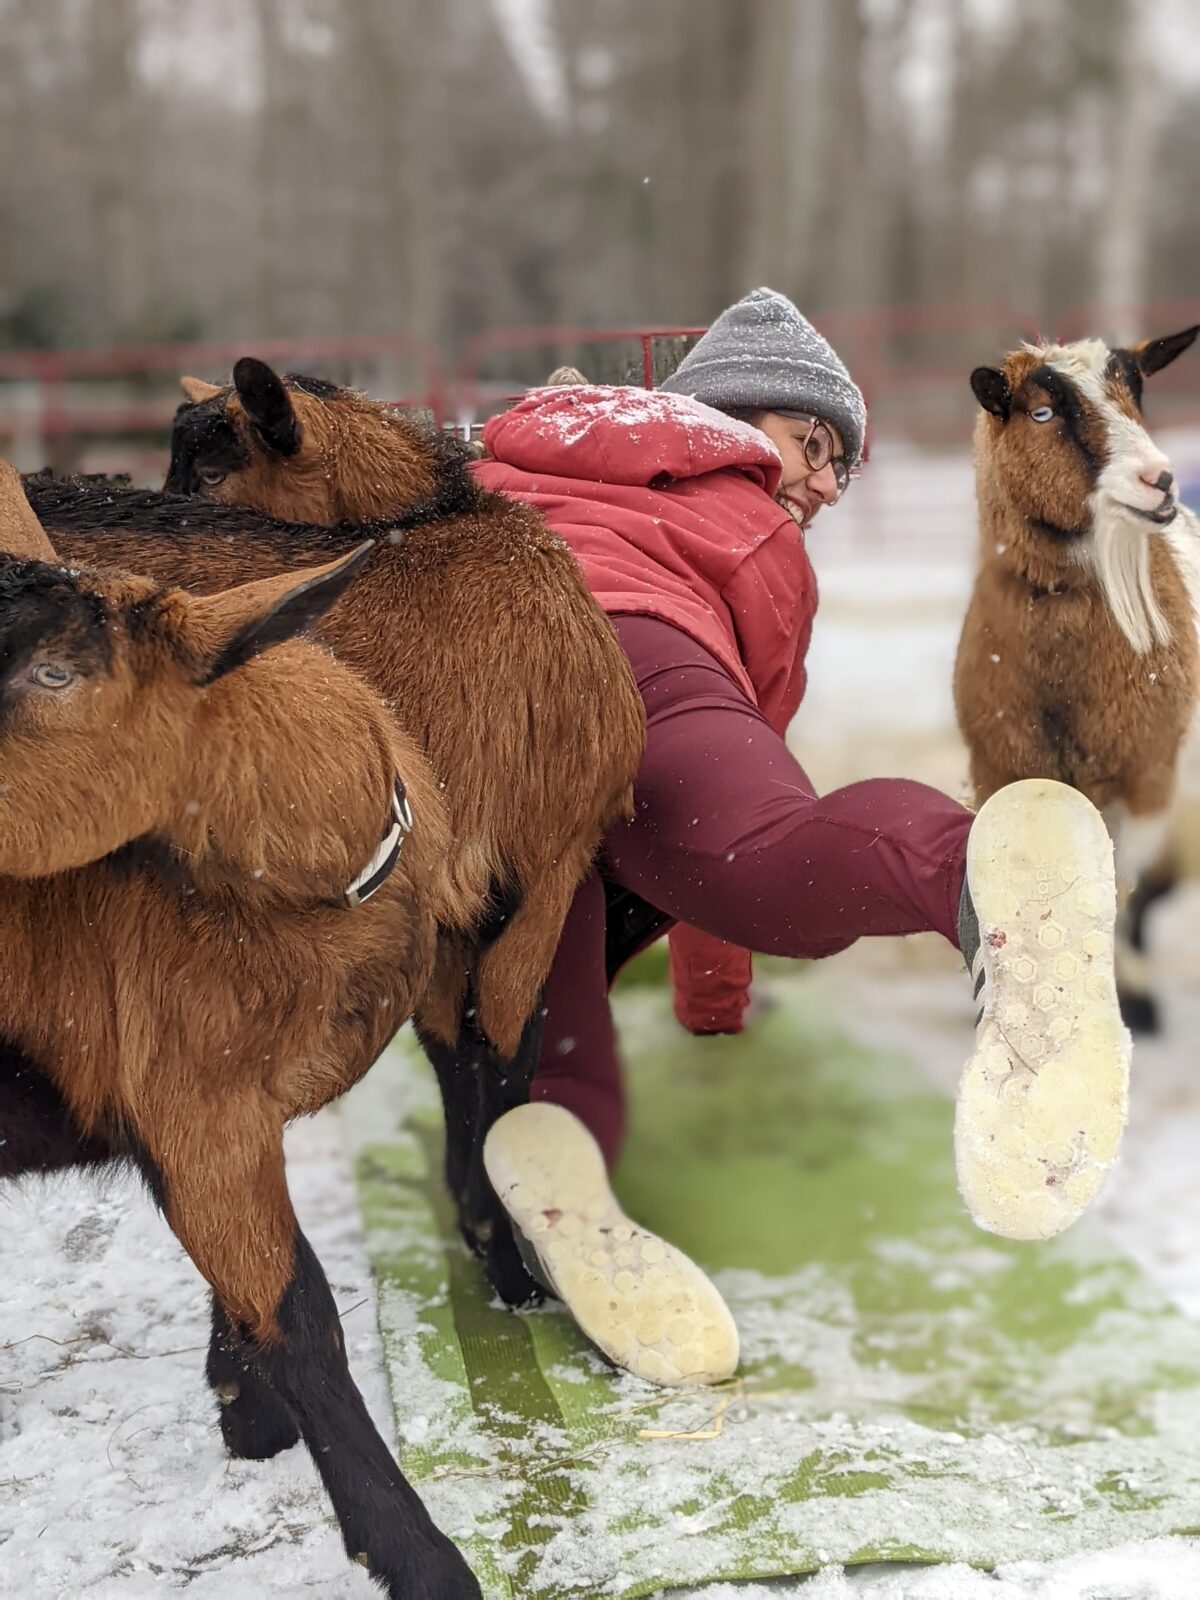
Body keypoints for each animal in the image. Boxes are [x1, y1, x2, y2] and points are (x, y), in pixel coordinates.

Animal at [0, 462, 481, 1598]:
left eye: (54, 672)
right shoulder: (194, 1110)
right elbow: (303, 1318)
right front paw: (422, 1559)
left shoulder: (222, 1118)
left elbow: (255, 1292)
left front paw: (242, 1407)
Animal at [24, 363, 646, 1304]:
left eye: (212, 469)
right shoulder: (539, 881)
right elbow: (503, 1069)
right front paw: (515, 1273)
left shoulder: (457, 905)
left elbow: (460, 1062)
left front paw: (483, 1238)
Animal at [954, 327, 1200, 1029]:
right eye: (1041, 413)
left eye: (1137, 393)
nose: (1160, 481)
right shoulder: (1001, 769)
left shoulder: (1145, 781)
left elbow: (1114, 896)